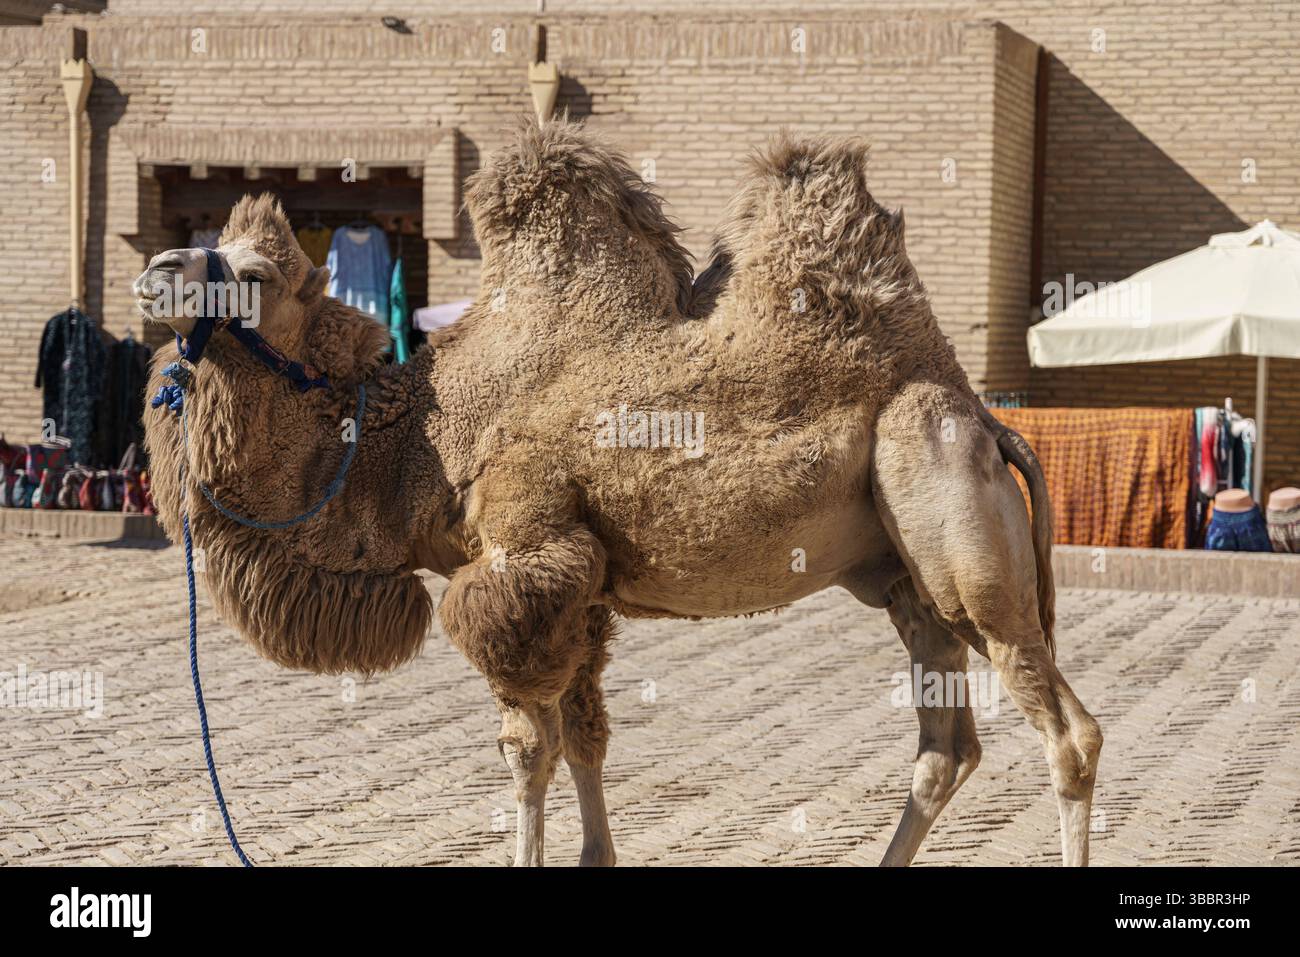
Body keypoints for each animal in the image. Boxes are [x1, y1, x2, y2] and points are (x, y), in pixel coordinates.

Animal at [136, 118, 1102, 867]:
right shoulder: (582, 587)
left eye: (256, 275)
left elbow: (528, 749)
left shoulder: (526, 558)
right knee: (945, 747)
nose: (153, 270)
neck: (421, 436)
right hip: (904, 576)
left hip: (951, 523)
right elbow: (587, 734)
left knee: (1067, 731)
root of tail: (987, 417)